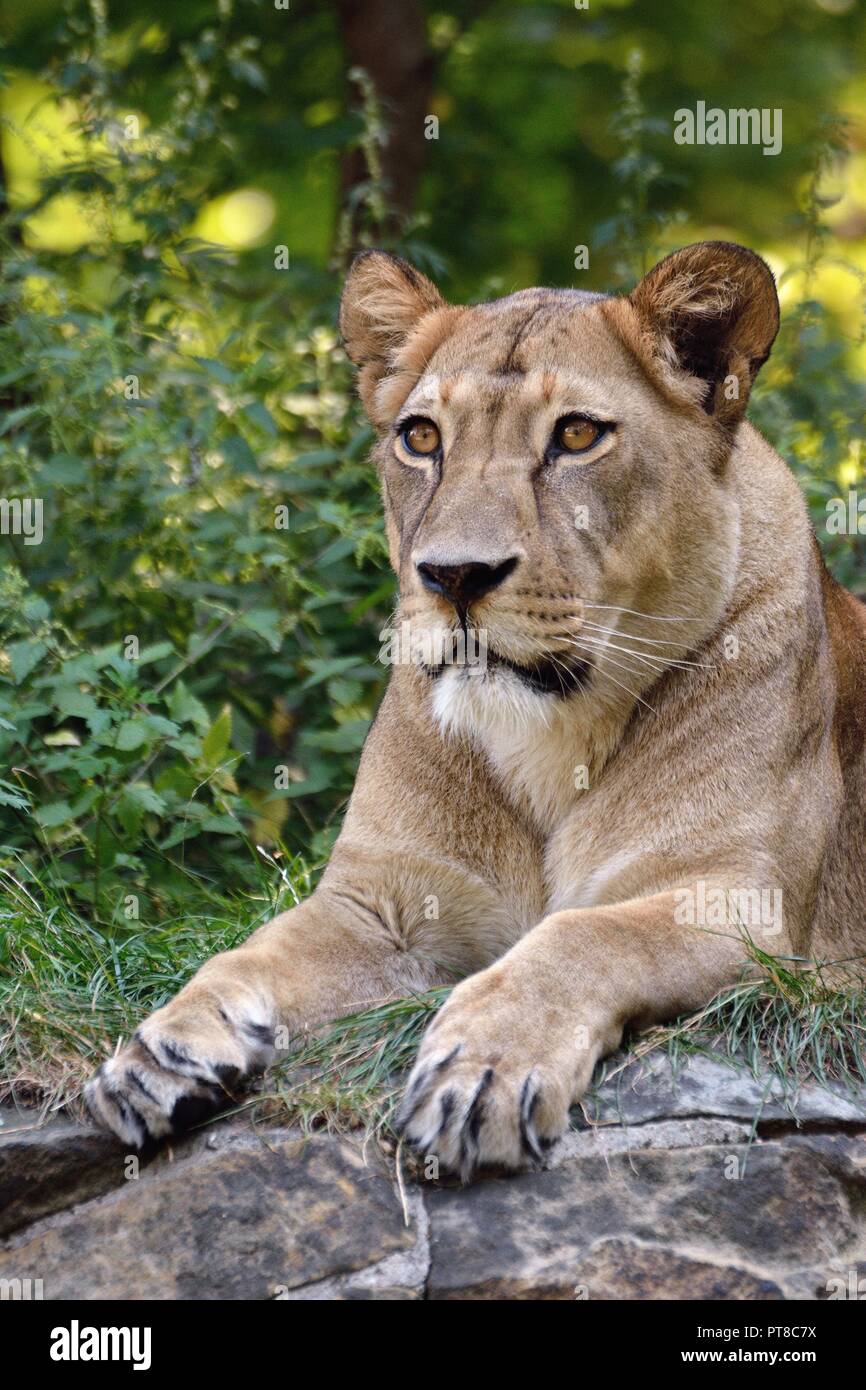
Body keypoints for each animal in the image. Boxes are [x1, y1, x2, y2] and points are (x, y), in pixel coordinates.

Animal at [86, 241, 866, 1179]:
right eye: (421, 438)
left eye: (577, 434)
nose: (455, 574)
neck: (552, 738)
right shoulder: (382, 902)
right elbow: (251, 952)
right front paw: (160, 1051)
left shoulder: (736, 907)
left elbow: (580, 938)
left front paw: (484, 1071)